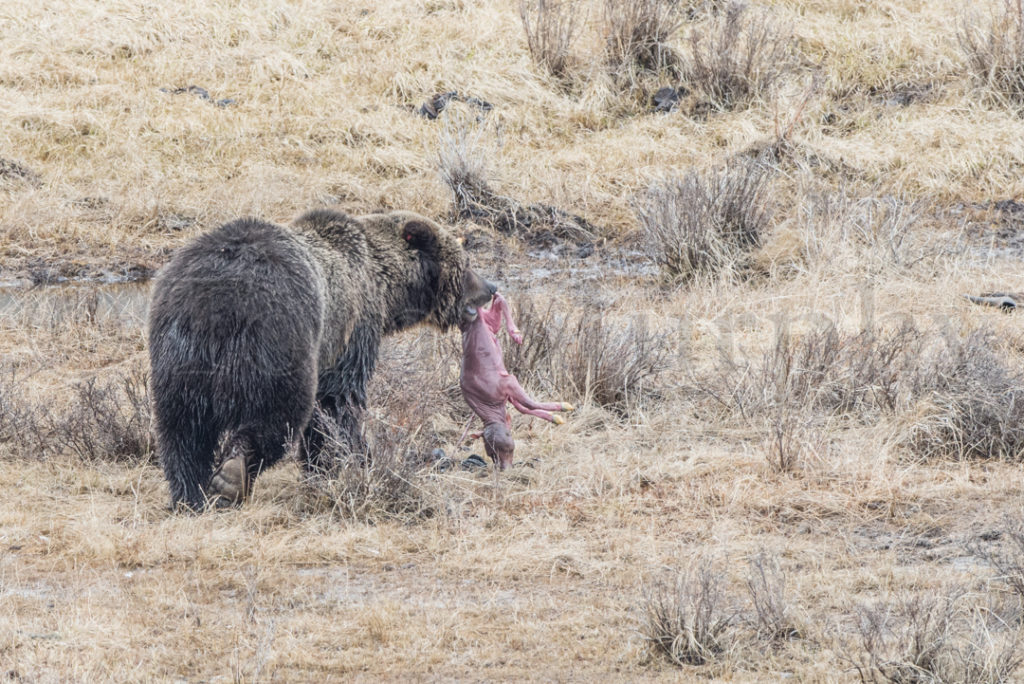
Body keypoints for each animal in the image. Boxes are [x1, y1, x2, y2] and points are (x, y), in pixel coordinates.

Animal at [147, 208, 496, 510]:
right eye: (466, 264)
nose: (490, 287)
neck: (382, 286)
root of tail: (216, 300)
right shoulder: (349, 334)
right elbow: (336, 405)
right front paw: (348, 461)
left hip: (179, 356)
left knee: (182, 432)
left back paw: (190, 495)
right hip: (278, 340)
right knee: (278, 415)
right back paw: (231, 476)